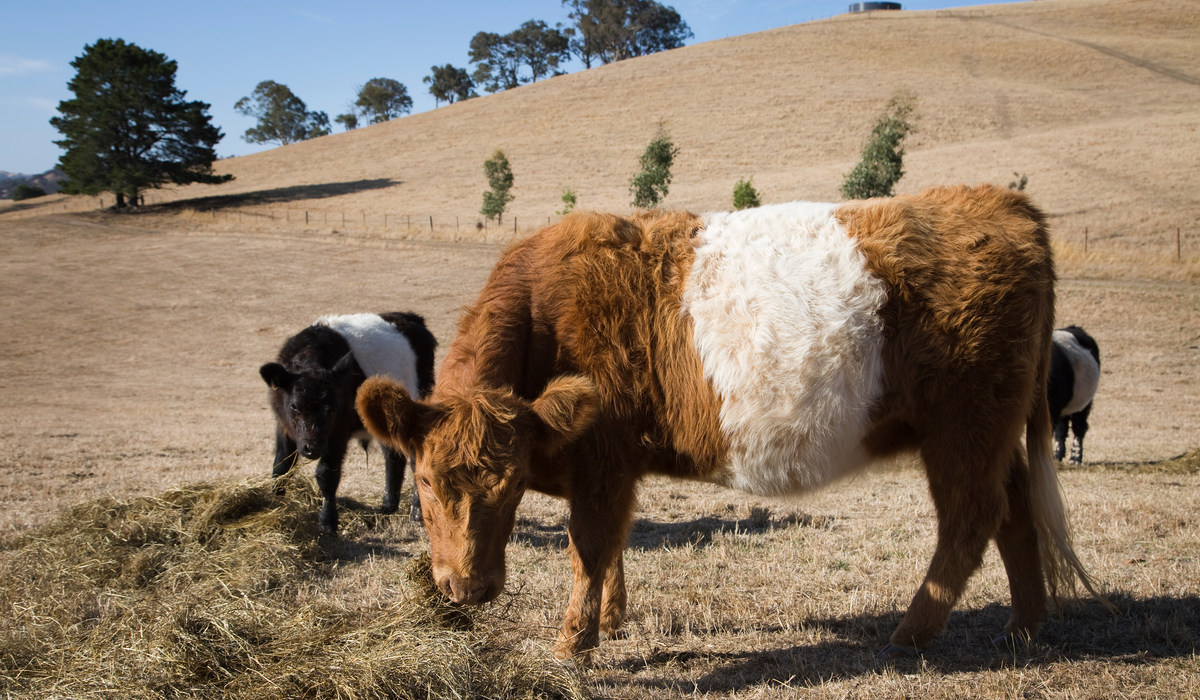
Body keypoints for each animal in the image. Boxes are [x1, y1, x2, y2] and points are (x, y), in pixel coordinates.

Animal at [260, 312, 436, 535]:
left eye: (334, 407)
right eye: (294, 406)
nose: (313, 448)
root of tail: (410, 317)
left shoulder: (337, 434)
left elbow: (326, 475)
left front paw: (328, 523)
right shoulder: (283, 427)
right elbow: (281, 467)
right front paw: (275, 505)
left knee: (416, 459)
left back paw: (417, 513)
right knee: (393, 456)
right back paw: (388, 505)